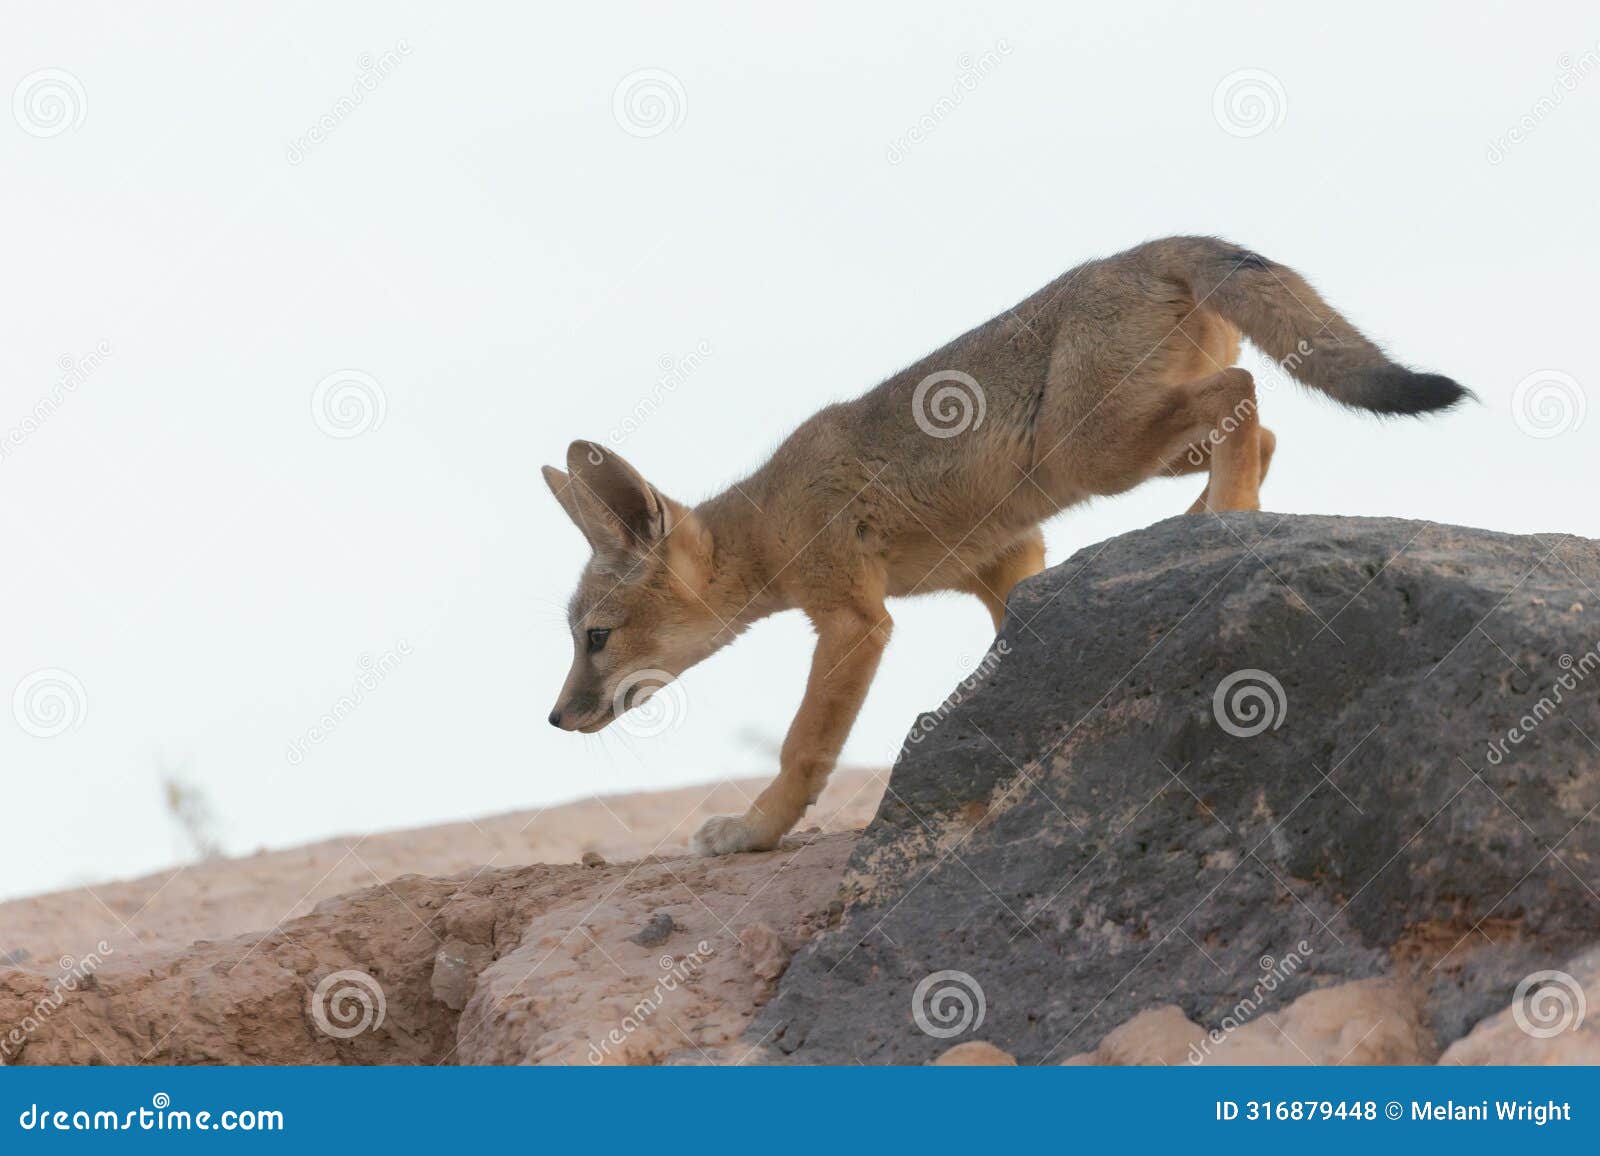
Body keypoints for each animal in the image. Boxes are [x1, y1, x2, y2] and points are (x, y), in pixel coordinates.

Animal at [542, 235, 1468, 856]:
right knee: (1262, 428)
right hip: (1127, 454)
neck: (771, 511)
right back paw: (1212, 516)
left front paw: (753, 830)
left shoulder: (853, 621)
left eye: (596, 638)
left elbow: (803, 748)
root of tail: (1143, 249)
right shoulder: (1006, 566)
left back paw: (1224, 521)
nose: (555, 717)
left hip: (1100, 453)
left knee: (1244, 396)